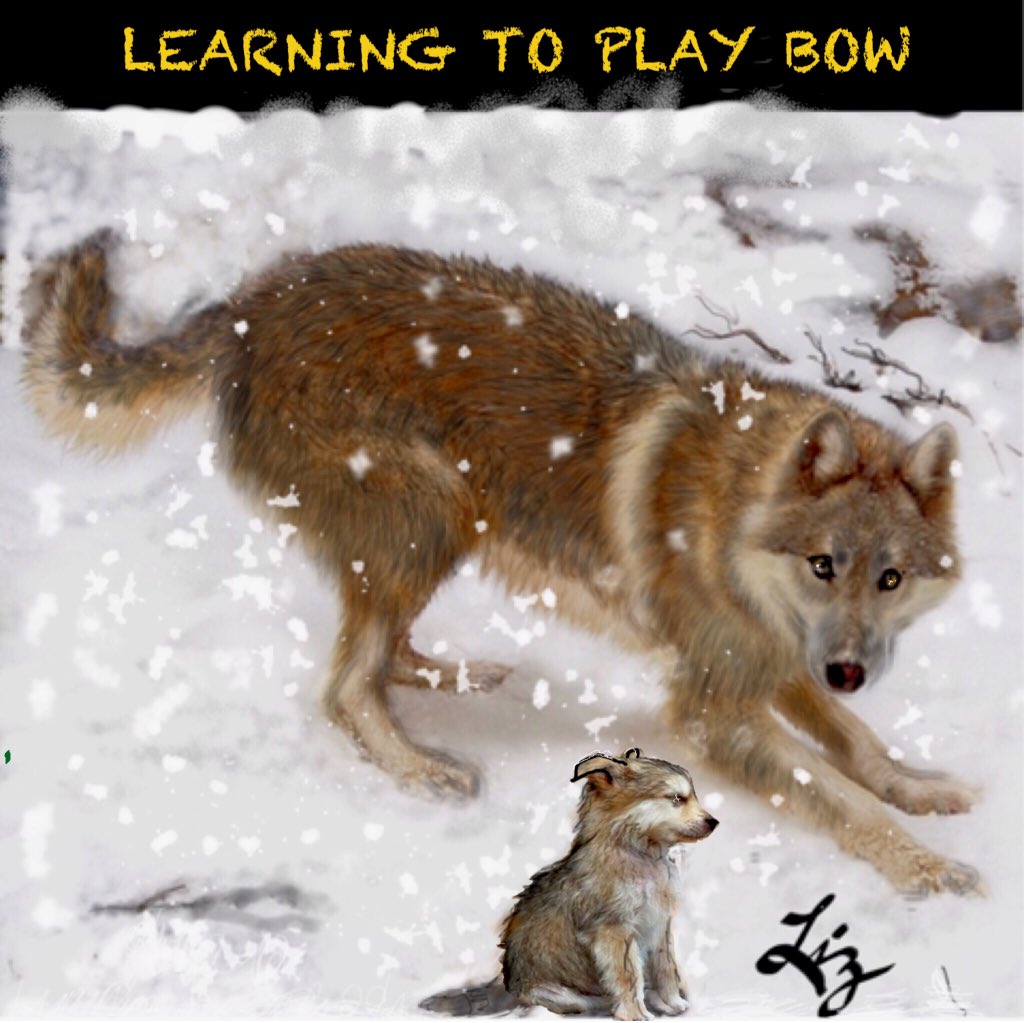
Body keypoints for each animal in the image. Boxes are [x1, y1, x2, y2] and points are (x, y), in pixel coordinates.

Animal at [21, 232, 978, 894]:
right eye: (823, 564)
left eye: (889, 579)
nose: (850, 668)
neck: (732, 509)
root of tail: (251, 298)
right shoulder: (715, 706)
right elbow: (837, 794)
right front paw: (926, 868)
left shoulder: (778, 660)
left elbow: (859, 744)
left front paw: (921, 788)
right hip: (427, 518)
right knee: (343, 688)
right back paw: (423, 769)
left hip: (442, 532)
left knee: (381, 655)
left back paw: (453, 676)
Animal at [421, 748, 717, 1020]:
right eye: (676, 799)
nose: (714, 822)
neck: (639, 854)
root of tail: (505, 985)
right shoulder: (613, 932)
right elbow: (628, 976)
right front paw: (635, 1013)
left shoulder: (659, 925)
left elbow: (666, 967)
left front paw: (673, 1003)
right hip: (559, 994)